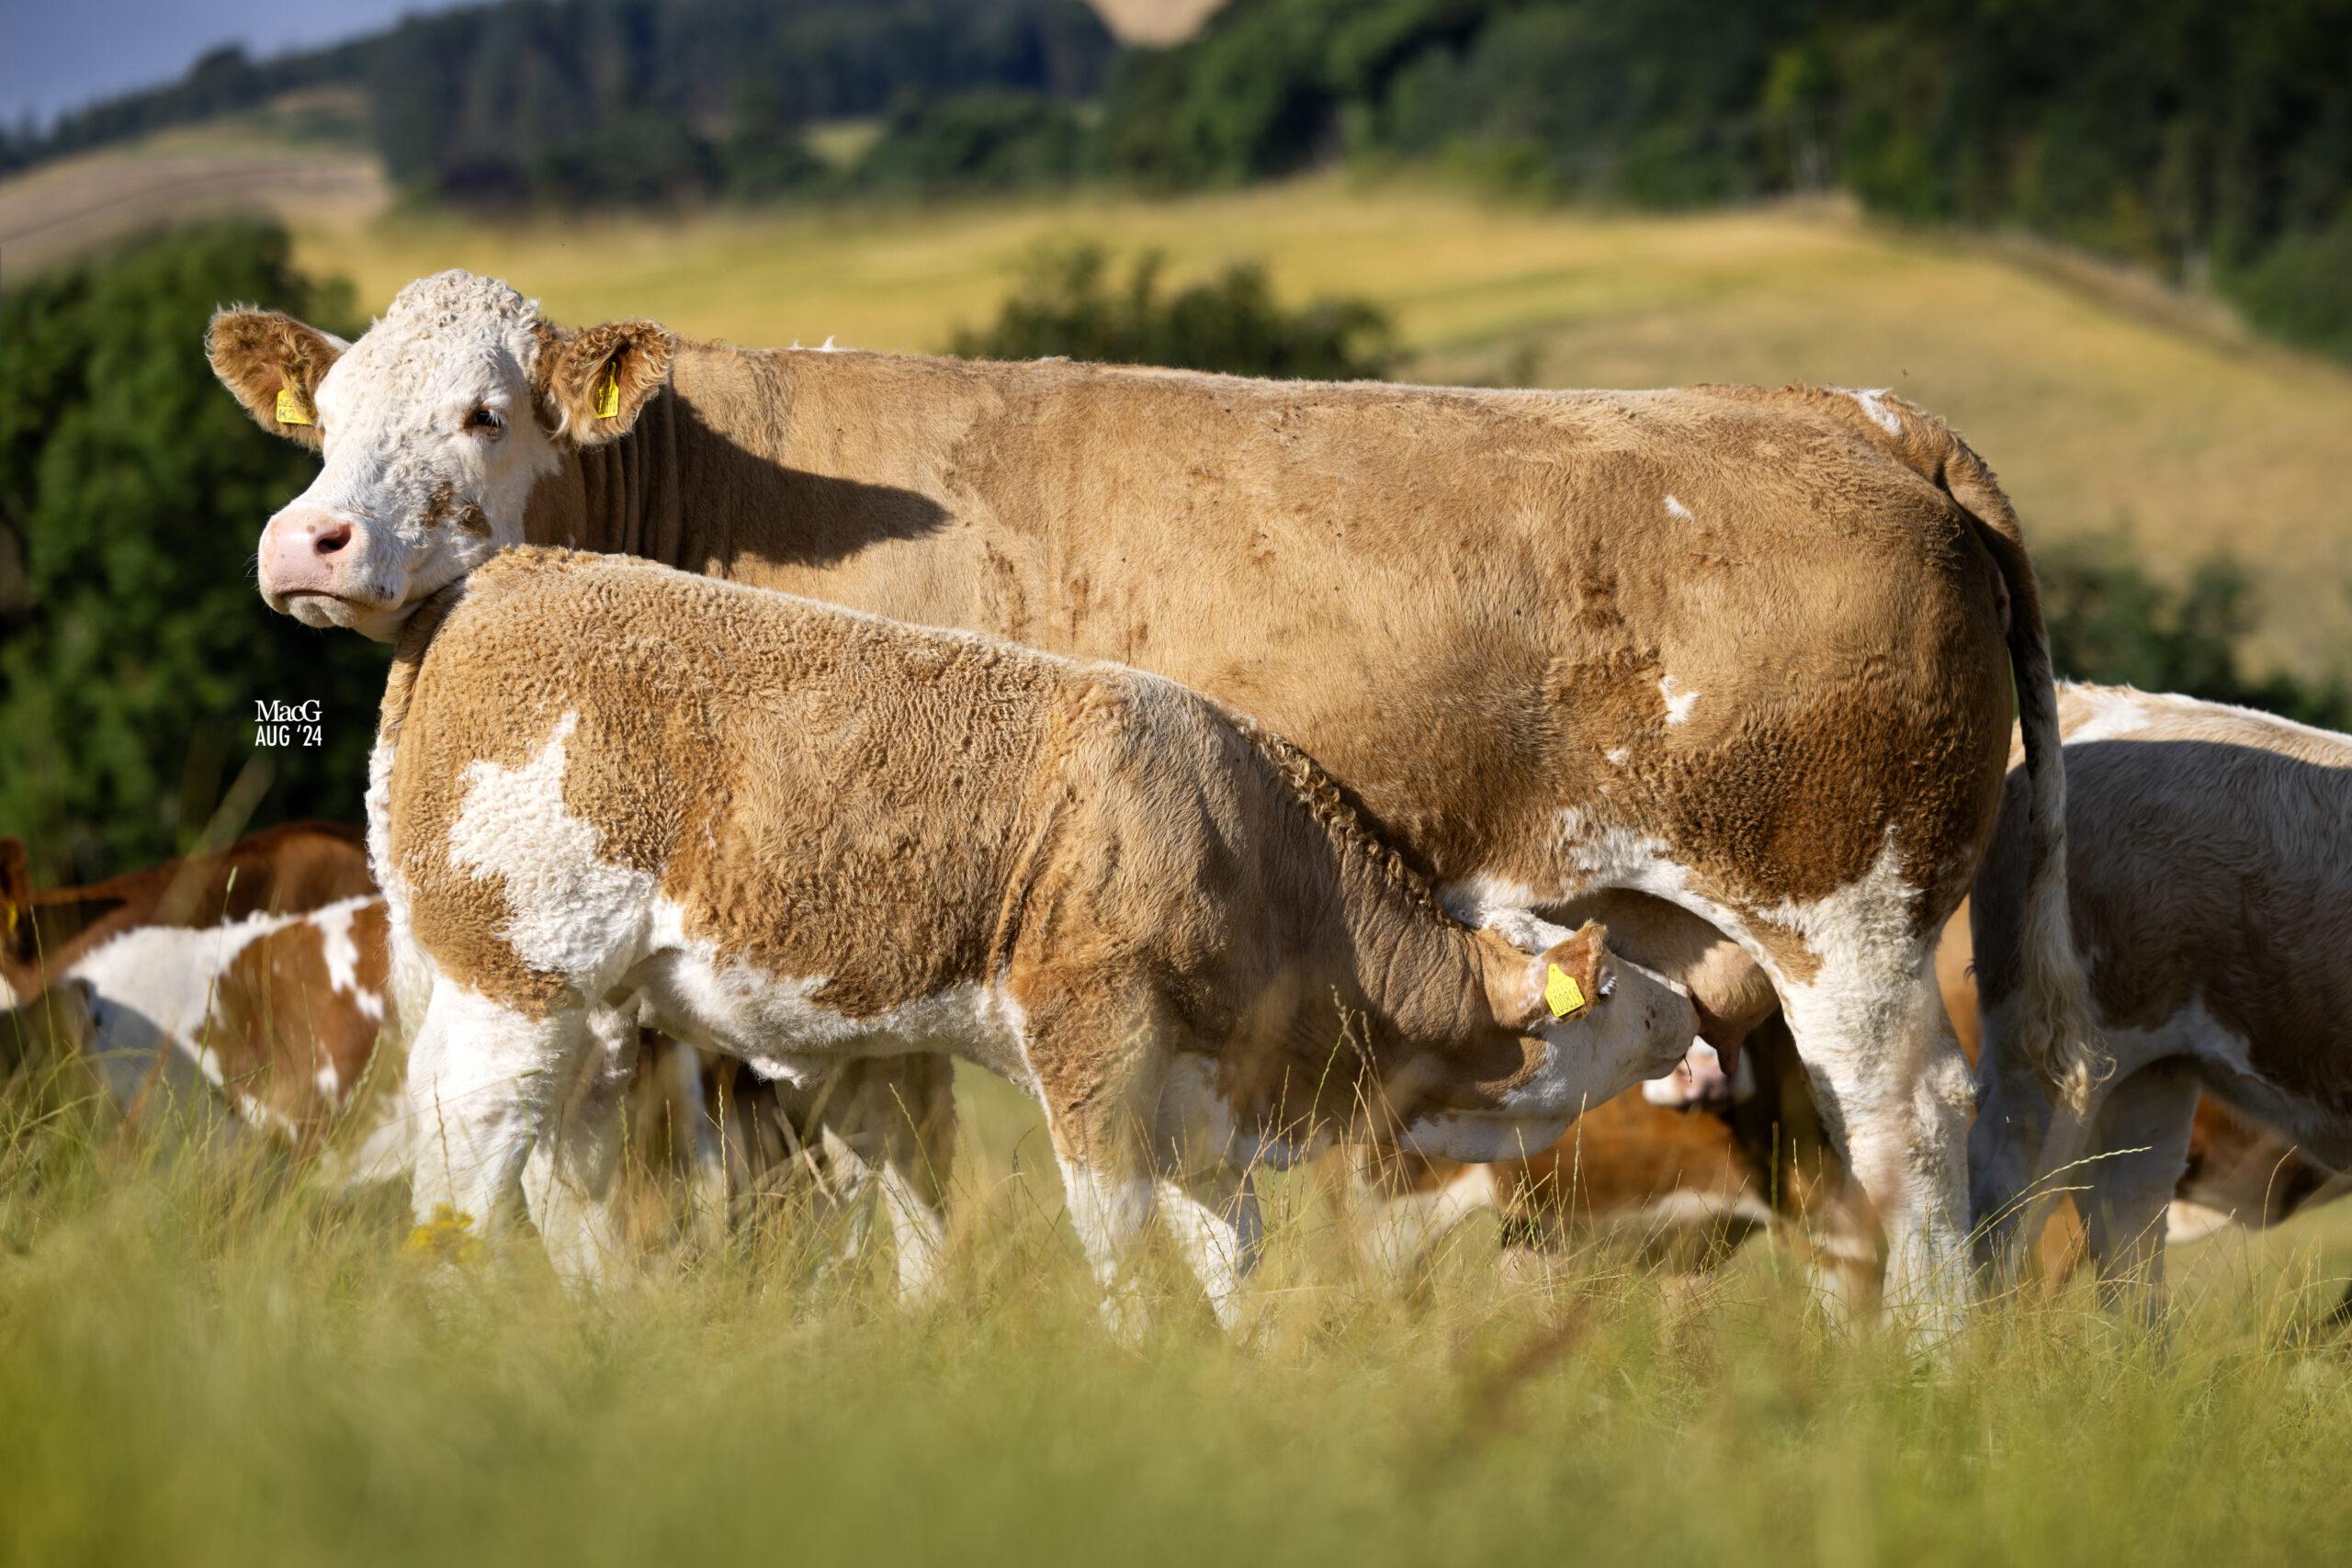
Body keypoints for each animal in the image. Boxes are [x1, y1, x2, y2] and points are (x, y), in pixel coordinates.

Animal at [376, 548, 1699, 1327]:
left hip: (575, 1007)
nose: (1689, 1006)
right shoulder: (1091, 1035)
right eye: (1614, 983)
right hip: (519, 974)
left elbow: (1228, 1247)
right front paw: (1135, 1360)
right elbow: (1115, 1236)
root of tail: (509, 571)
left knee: (566, 1169)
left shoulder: (1198, 1091)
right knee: (470, 1156)